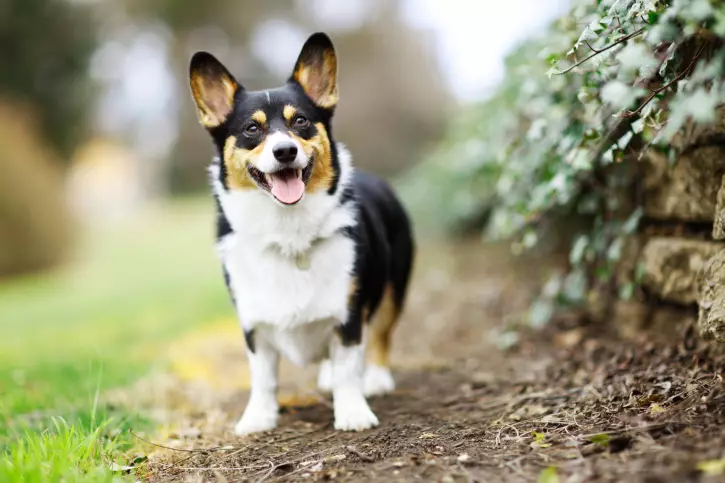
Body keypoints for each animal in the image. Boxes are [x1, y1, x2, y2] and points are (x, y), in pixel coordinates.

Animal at [188, 34, 412, 434]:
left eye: (301, 122)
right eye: (252, 129)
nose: (285, 151)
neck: (287, 229)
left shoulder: (349, 314)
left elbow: (349, 368)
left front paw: (353, 412)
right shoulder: (253, 324)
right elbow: (263, 378)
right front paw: (258, 418)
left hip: (393, 290)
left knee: (381, 335)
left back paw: (377, 378)